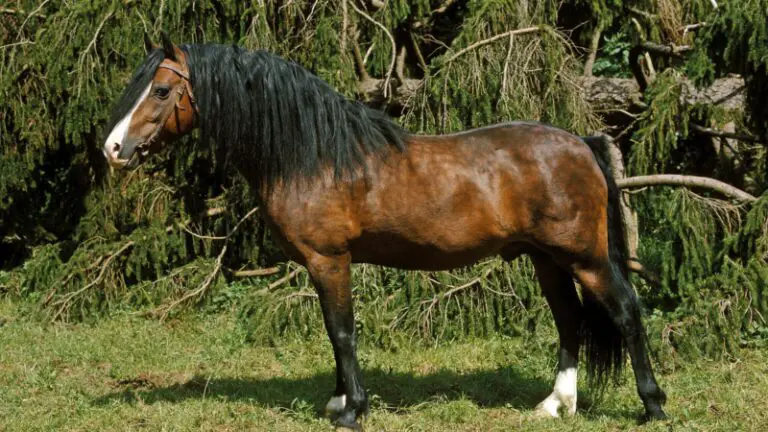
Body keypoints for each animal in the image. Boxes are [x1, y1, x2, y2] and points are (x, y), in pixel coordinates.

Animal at [103, 32, 667, 429]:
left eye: (161, 90)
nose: (112, 149)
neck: (315, 155)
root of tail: (580, 144)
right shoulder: (322, 264)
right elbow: (332, 332)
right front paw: (338, 402)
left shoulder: (330, 259)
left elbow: (342, 330)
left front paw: (353, 410)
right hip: (546, 259)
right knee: (569, 320)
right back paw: (556, 405)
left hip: (585, 257)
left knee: (626, 312)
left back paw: (653, 406)